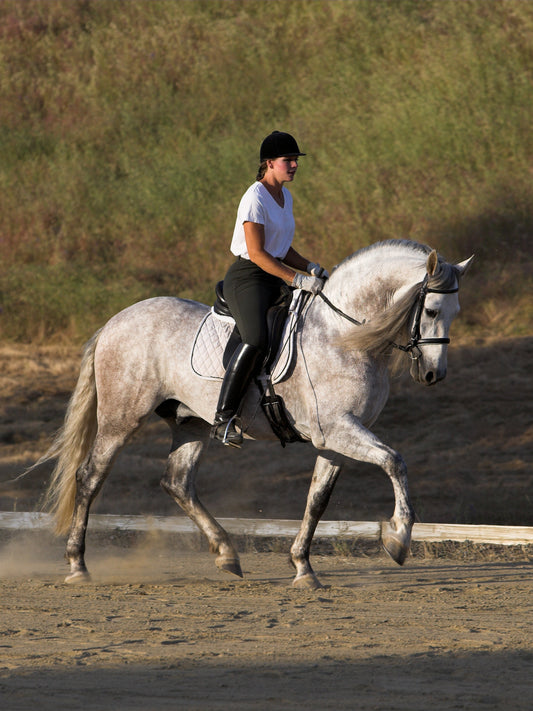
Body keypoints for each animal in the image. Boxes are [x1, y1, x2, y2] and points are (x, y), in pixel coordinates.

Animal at [38, 239, 473, 589]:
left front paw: (303, 569)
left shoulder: (335, 438)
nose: (433, 375)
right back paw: (77, 565)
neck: (345, 336)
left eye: (455, 311)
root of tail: (115, 321)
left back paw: (226, 554)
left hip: (191, 423)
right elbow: (394, 461)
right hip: (121, 419)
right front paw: (398, 538)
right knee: (90, 477)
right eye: (432, 310)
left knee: (177, 482)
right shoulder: (338, 430)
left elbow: (318, 500)